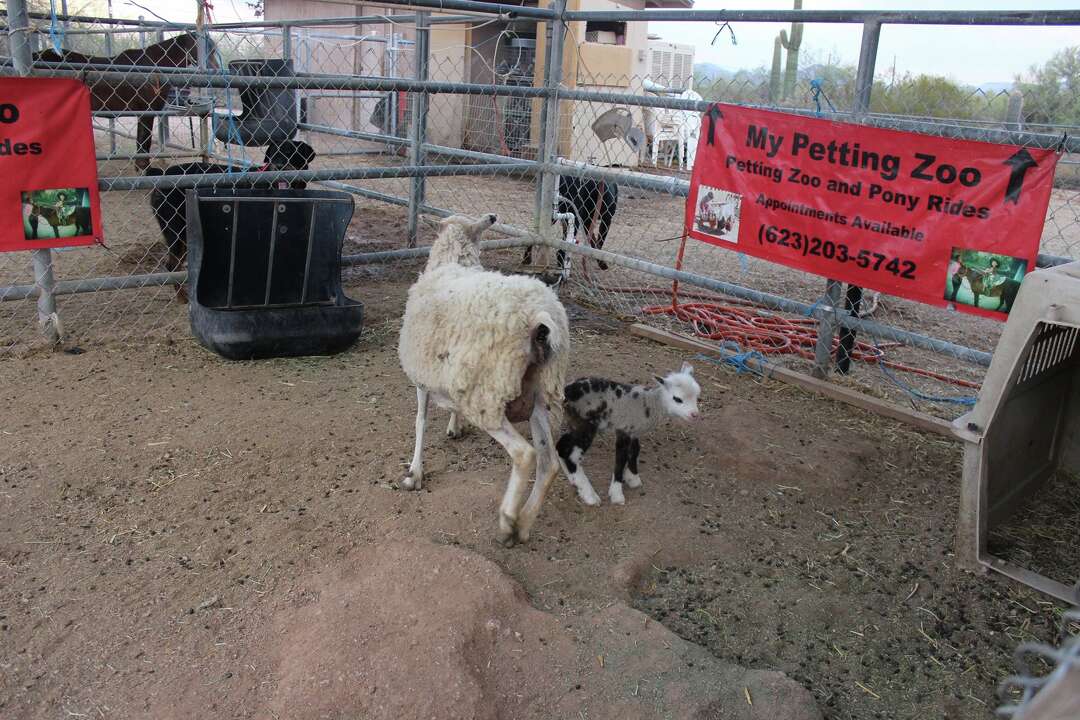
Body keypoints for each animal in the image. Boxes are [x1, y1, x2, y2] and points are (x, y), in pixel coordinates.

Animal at [398, 213, 571, 546]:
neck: (451, 261)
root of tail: (540, 316)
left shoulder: (422, 377)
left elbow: (419, 422)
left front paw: (414, 473)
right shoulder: (452, 374)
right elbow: (444, 409)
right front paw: (454, 426)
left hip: (488, 393)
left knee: (525, 455)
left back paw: (507, 521)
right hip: (541, 392)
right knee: (550, 462)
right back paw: (524, 524)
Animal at [556, 363, 701, 506]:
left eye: (696, 396)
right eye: (677, 399)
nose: (694, 415)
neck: (651, 403)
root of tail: (566, 392)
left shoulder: (633, 430)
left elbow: (635, 450)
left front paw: (633, 477)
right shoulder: (623, 429)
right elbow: (621, 459)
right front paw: (617, 494)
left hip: (575, 423)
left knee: (561, 446)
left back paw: (573, 479)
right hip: (585, 424)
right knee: (568, 452)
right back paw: (588, 494)